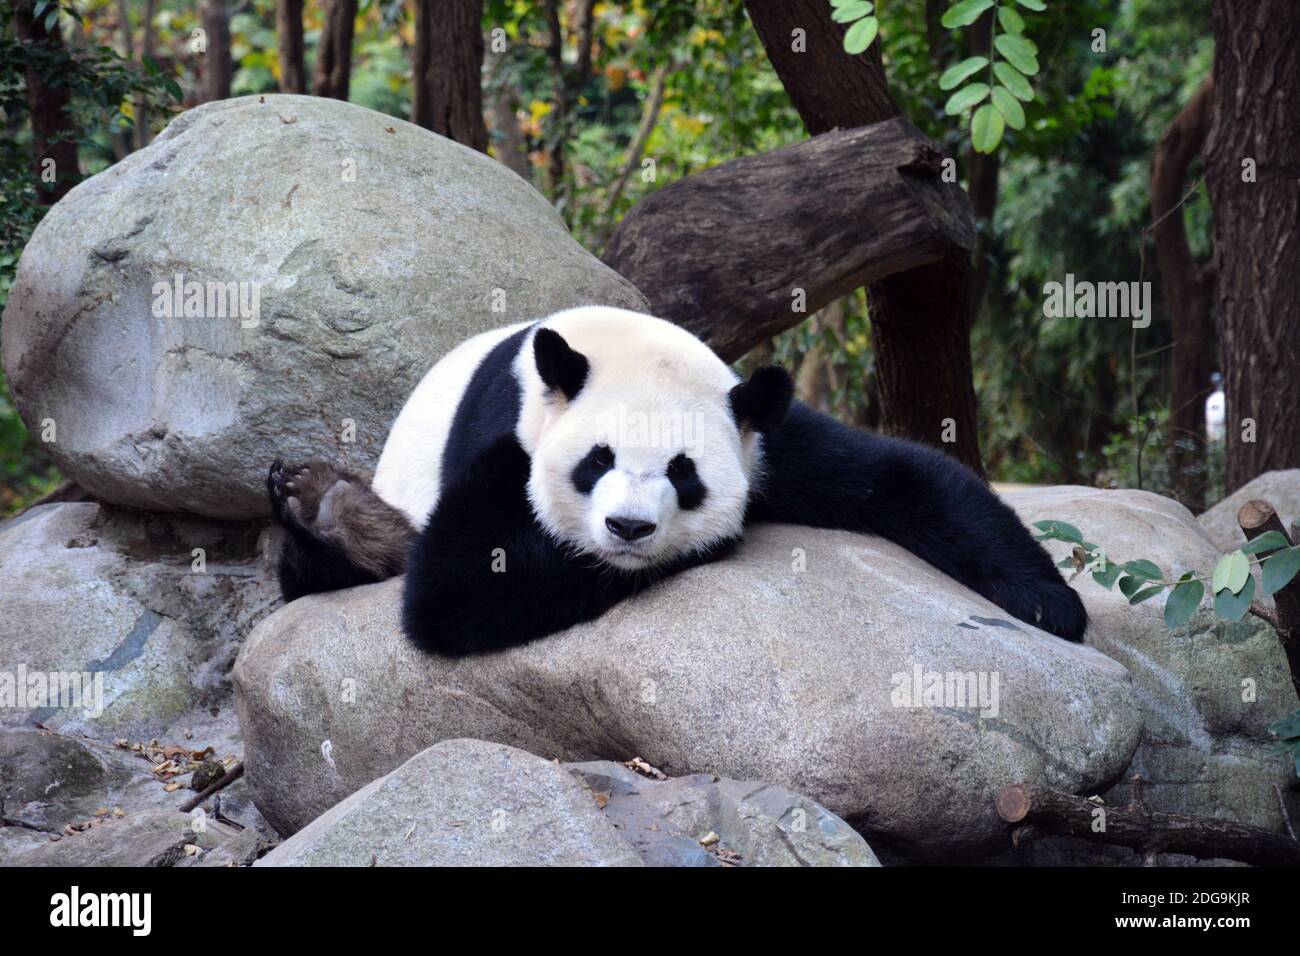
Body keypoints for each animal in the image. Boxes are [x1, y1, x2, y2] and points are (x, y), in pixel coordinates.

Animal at [266, 305, 1086, 655]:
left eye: (683, 473)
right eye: (596, 461)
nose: (629, 529)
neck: (615, 343)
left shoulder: (755, 429)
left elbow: (902, 478)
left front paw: (1050, 604)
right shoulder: (510, 427)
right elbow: (456, 586)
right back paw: (326, 507)